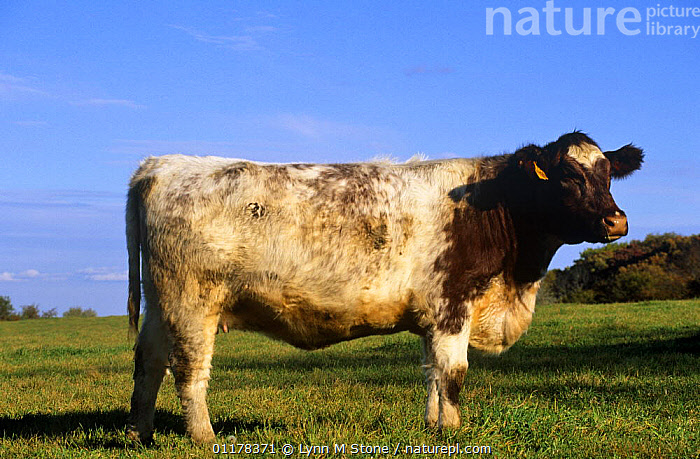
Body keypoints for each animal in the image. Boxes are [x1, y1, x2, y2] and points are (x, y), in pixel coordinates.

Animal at [126, 131, 643, 443]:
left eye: (607, 174)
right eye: (568, 176)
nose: (616, 221)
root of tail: (163, 164)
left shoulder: (433, 317)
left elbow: (433, 375)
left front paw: (435, 428)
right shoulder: (453, 304)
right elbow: (453, 374)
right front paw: (454, 432)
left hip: (160, 304)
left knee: (147, 363)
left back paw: (139, 432)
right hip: (192, 302)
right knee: (188, 371)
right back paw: (204, 437)